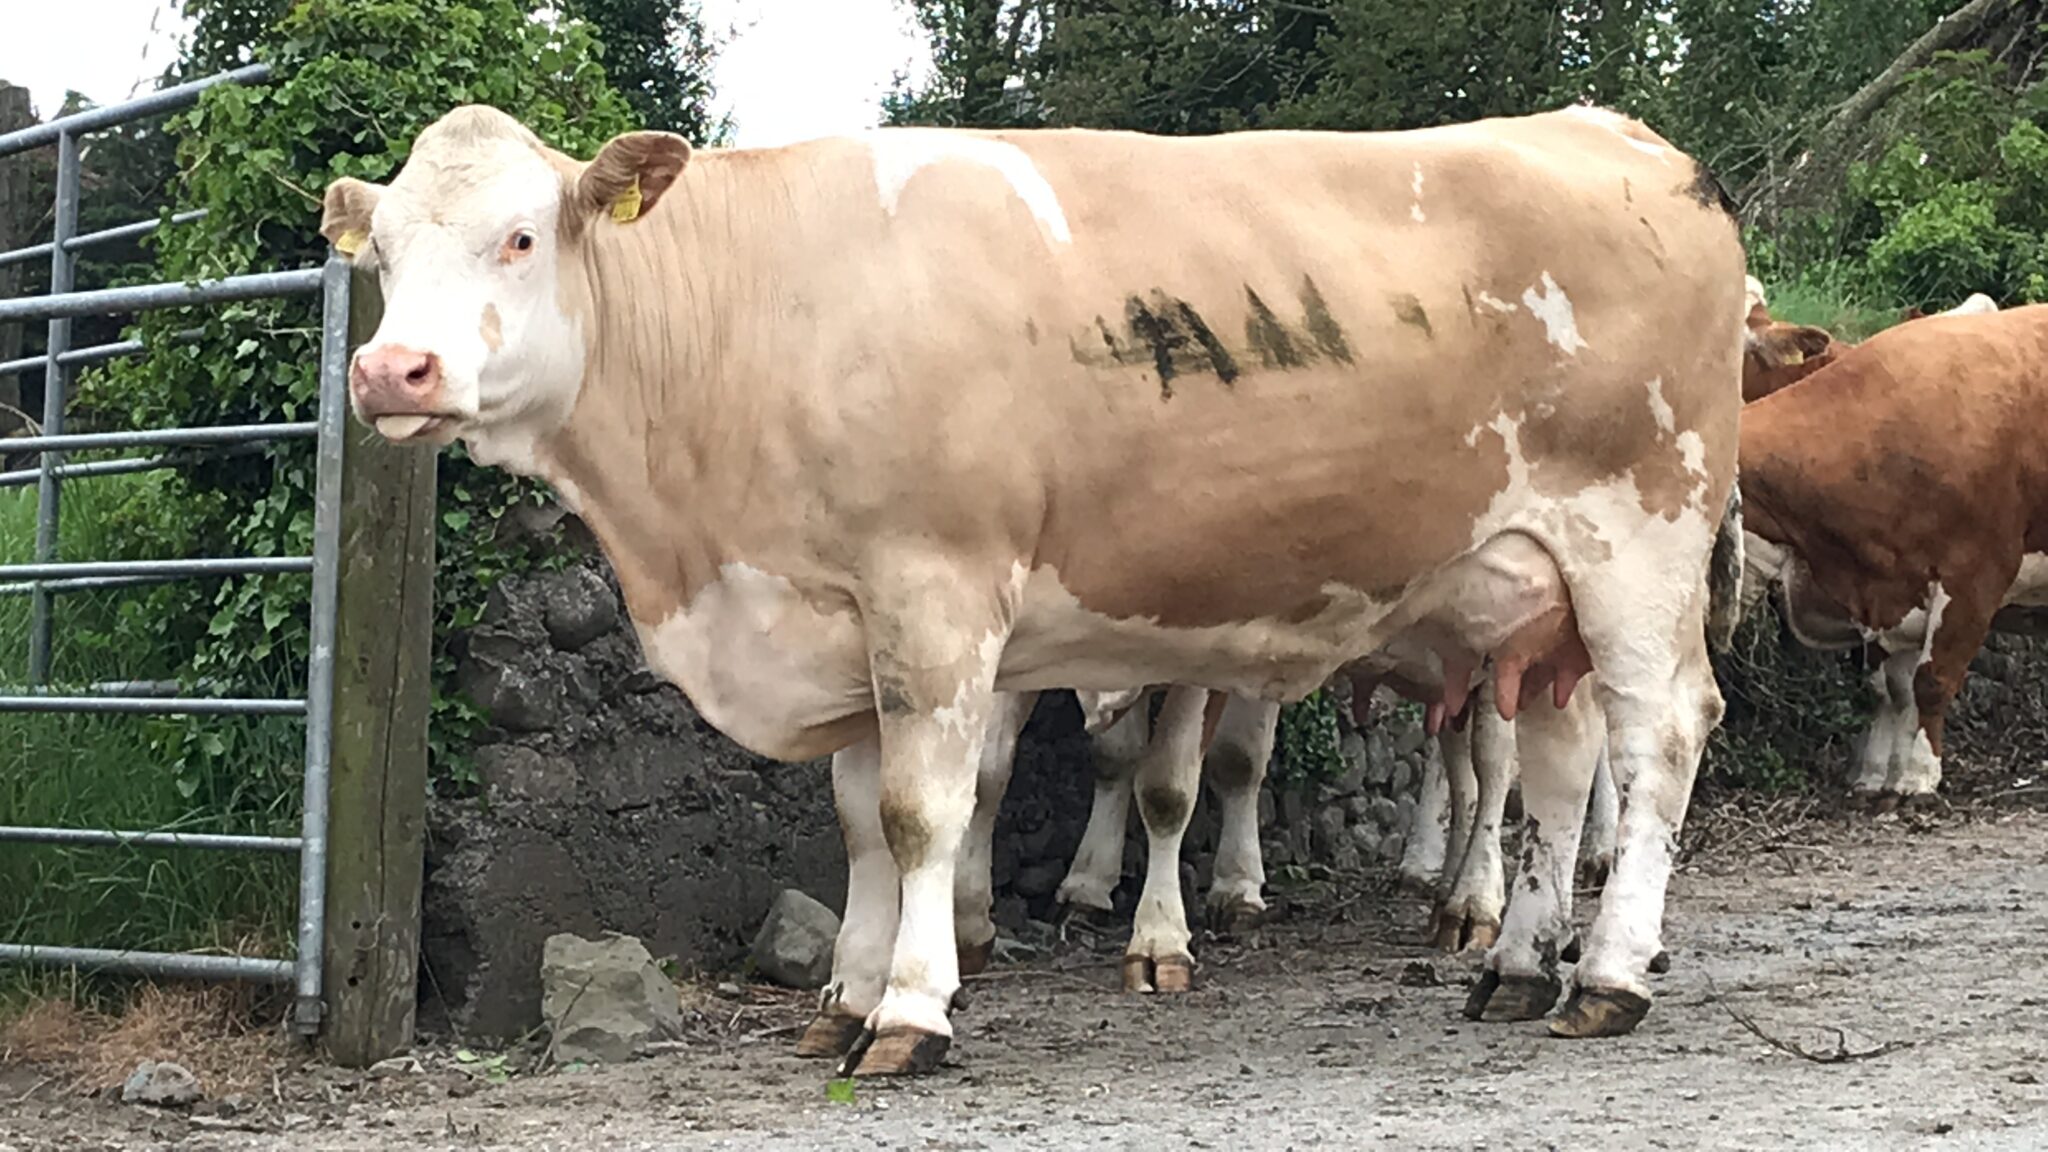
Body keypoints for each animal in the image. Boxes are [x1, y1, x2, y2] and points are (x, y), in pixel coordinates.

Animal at [322, 101, 1746, 1075]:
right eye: (379, 251)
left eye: (519, 237)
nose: (390, 371)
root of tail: (1606, 129)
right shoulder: (844, 621)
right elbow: (856, 822)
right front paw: (845, 995)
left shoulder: (934, 591)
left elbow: (918, 813)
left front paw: (908, 1013)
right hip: (1538, 599)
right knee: (1561, 763)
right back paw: (1518, 963)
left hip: (1641, 542)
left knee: (1658, 737)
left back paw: (1607, 976)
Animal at [1738, 303, 2048, 812]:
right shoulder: (1887, 586)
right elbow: (1891, 690)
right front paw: (1876, 774)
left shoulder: (1974, 578)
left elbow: (1931, 682)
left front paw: (1919, 776)